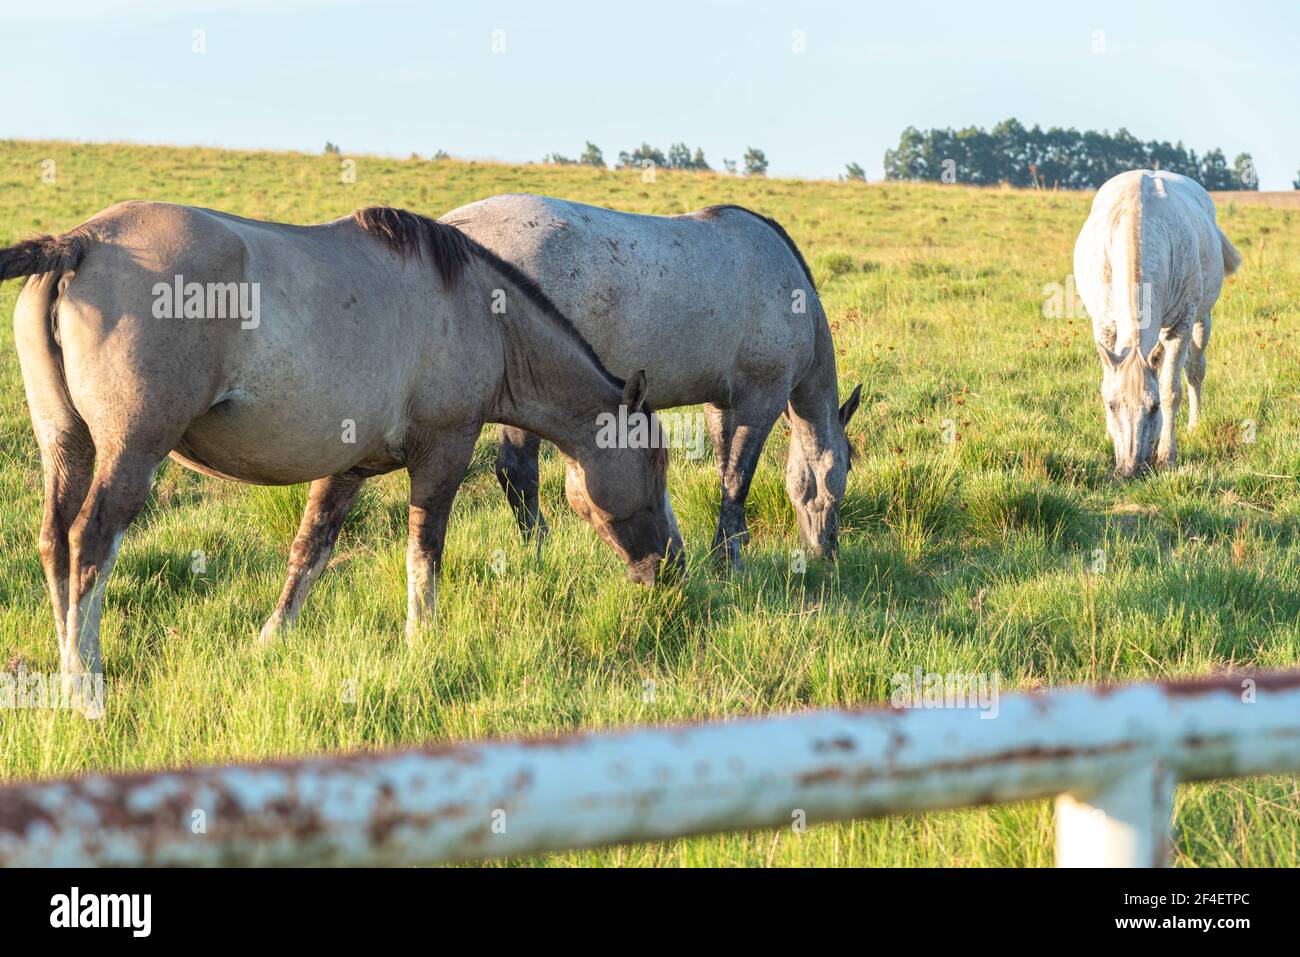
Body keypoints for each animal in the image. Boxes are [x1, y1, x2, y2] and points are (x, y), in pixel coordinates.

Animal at [2, 201, 683, 714]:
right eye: (657, 462)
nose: (671, 566)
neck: (483, 315)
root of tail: (79, 242)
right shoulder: (445, 451)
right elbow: (424, 553)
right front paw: (422, 643)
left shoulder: (346, 468)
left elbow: (310, 553)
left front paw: (269, 644)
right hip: (132, 453)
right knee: (90, 544)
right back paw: (84, 688)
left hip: (68, 448)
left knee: (55, 543)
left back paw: (65, 672)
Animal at [439, 195, 861, 569]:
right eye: (848, 468)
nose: (829, 550)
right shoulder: (760, 401)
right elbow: (739, 478)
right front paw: (729, 558)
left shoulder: (721, 405)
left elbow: (725, 470)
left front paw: (727, 548)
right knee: (518, 471)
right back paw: (539, 548)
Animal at [1074, 170, 1241, 477]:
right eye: (1112, 406)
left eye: (1153, 408)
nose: (1129, 469)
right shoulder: (1104, 327)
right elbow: (1107, 380)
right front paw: (1107, 435)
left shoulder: (1179, 328)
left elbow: (1171, 390)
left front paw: (1166, 456)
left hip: (1201, 321)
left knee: (1195, 370)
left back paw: (1194, 424)